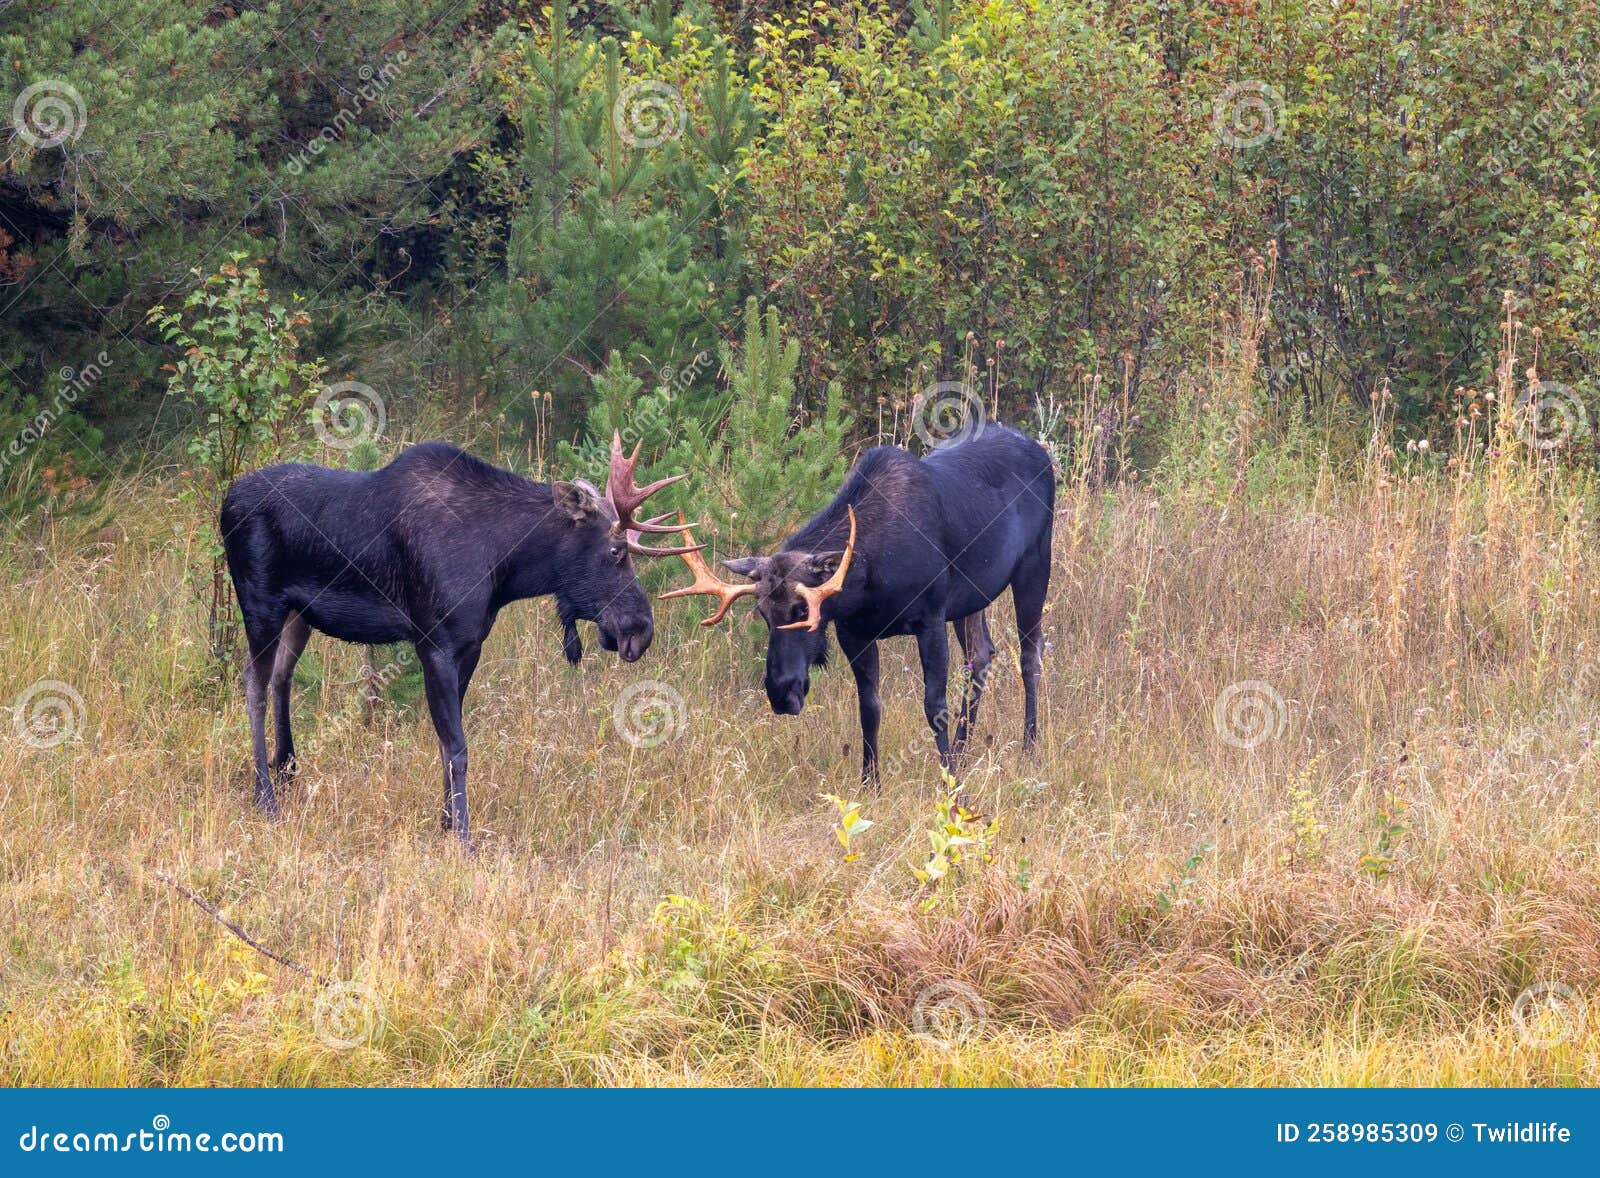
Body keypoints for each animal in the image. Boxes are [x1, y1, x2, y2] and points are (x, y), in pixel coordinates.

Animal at [219, 433, 698, 843]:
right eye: (616, 551)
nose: (641, 630)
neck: (504, 563)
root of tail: (225, 501)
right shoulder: (434, 643)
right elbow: (457, 746)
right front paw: (464, 837)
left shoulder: (470, 646)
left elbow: (445, 745)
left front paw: (446, 822)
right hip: (260, 604)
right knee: (253, 683)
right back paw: (265, 797)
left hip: (298, 615)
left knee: (280, 678)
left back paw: (287, 771)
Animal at [660, 422, 1054, 784]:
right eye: (763, 614)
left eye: (803, 610)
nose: (781, 692)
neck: (868, 577)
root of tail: (1040, 451)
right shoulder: (853, 631)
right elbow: (869, 707)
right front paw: (870, 783)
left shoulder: (930, 616)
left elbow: (933, 705)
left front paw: (952, 784)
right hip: (973, 598)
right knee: (982, 655)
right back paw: (963, 749)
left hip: (1034, 565)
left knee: (1029, 655)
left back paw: (1028, 748)